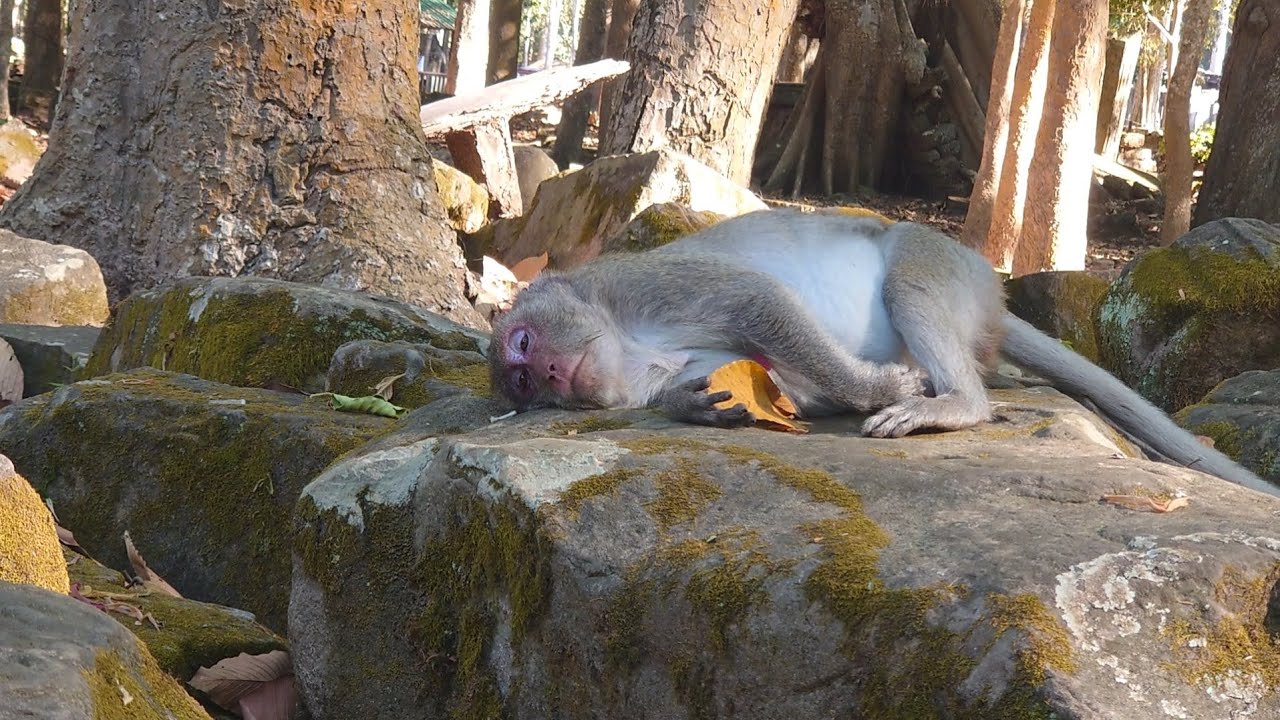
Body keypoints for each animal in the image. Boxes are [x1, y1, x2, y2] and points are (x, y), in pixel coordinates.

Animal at [489, 208, 1279, 497]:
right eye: (524, 387)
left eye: (522, 347)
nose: (550, 373)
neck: (627, 342)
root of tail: (992, 298)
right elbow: (762, 383)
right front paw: (701, 406)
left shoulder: (641, 284)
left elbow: (758, 303)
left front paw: (879, 389)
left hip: (937, 260)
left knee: (907, 284)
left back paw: (954, 404)